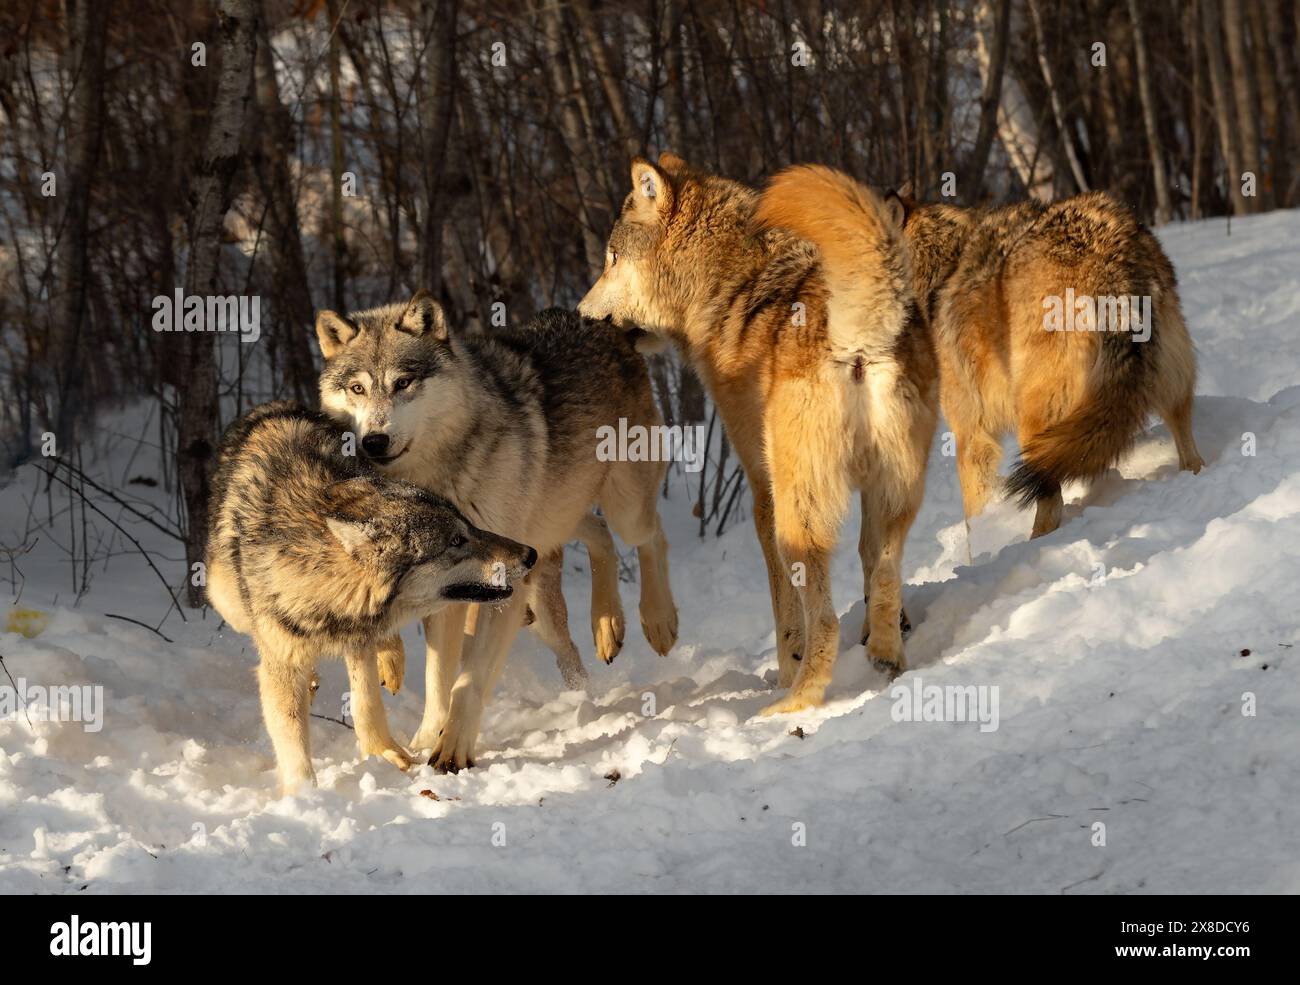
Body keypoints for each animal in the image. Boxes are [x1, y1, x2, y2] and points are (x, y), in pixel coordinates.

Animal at [205, 402, 537, 794]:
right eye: (456, 541)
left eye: (469, 526)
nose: (530, 554)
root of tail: (276, 405)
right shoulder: (282, 664)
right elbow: (292, 740)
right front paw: (304, 795)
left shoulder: (357, 641)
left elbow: (366, 702)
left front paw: (383, 754)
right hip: (224, 596)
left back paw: (389, 662)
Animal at [317, 298, 678, 770]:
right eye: (357, 389)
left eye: (403, 383)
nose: (374, 441)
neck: (439, 476)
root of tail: (607, 327)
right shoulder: (452, 593)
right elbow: (438, 679)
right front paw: (426, 738)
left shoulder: (508, 581)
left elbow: (467, 681)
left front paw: (452, 749)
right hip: (557, 520)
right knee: (599, 535)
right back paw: (607, 624)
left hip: (623, 508)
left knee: (651, 537)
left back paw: (658, 623)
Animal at [579, 156, 938, 715]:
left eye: (611, 260)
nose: (578, 313)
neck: (727, 286)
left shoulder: (761, 491)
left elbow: (784, 614)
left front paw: (786, 668)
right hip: (895, 496)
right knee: (882, 574)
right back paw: (884, 655)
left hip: (799, 517)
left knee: (825, 622)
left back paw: (794, 702)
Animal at [891, 186, 1203, 540]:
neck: (939, 268)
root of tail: (1110, 253)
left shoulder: (971, 433)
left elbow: (974, 515)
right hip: (1167, 387)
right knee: (1188, 450)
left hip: (1035, 418)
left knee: (1049, 499)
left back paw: (1035, 543)